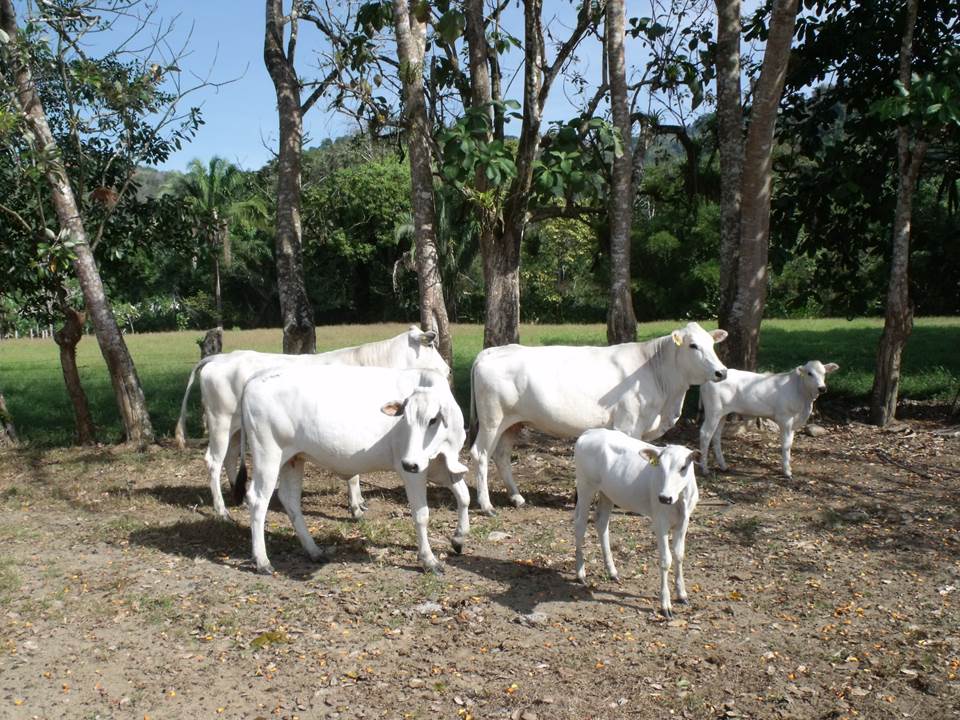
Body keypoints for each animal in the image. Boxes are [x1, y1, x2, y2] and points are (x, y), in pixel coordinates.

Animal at [174, 326, 448, 519]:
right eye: (431, 345)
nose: (447, 369)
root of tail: (219, 359)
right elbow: (353, 474)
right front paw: (355, 508)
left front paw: (359, 502)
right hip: (219, 422)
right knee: (213, 461)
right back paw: (221, 511)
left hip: (236, 429)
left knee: (230, 459)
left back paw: (237, 498)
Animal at [236, 366, 469, 574]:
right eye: (405, 419)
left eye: (433, 420)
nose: (409, 463)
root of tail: (255, 378)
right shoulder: (414, 473)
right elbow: (422, 515)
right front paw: (429, 560)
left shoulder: (441, 467)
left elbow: (464, 496)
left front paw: (458, 538)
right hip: (268, 455)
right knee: (258, 499)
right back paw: (262, 561)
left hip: (293, 459)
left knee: (289, 499)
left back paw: (314, 551)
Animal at [468, 322, 727, 515]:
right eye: (693, 345)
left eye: (712, 344)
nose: (721, 372)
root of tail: (492, 351)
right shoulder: (627, 425)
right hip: (492, 420)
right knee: (480, 453)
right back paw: (486, 505)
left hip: (512, 423)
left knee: (501, 456)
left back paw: (517, 497)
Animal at [574, 429, 699, 619]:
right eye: (660, 467)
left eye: (683, 467)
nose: (664, 497)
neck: (679, 500)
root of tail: (589, 432)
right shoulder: (660, 521)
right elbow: (666, 560)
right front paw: (666, 605)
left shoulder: (684, 521)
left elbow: (679, 555)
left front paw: (682, 594)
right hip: (585, 486)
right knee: (580, 524)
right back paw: (581, 573)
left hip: (607, 493)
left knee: (601, 523)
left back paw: (612, 572)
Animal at [699, 360, 840, 478]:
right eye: (810, 373)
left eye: (824, 373)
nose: (822, 388)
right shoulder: (785, 419)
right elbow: (786, 444)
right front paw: (786, 471)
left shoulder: (793, 423)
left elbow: (790, 443)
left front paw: (788, 468)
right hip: (713, 411)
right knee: (705, 434)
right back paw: (705, 469)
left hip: (722, 414)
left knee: (716, 436)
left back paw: (723, 466)